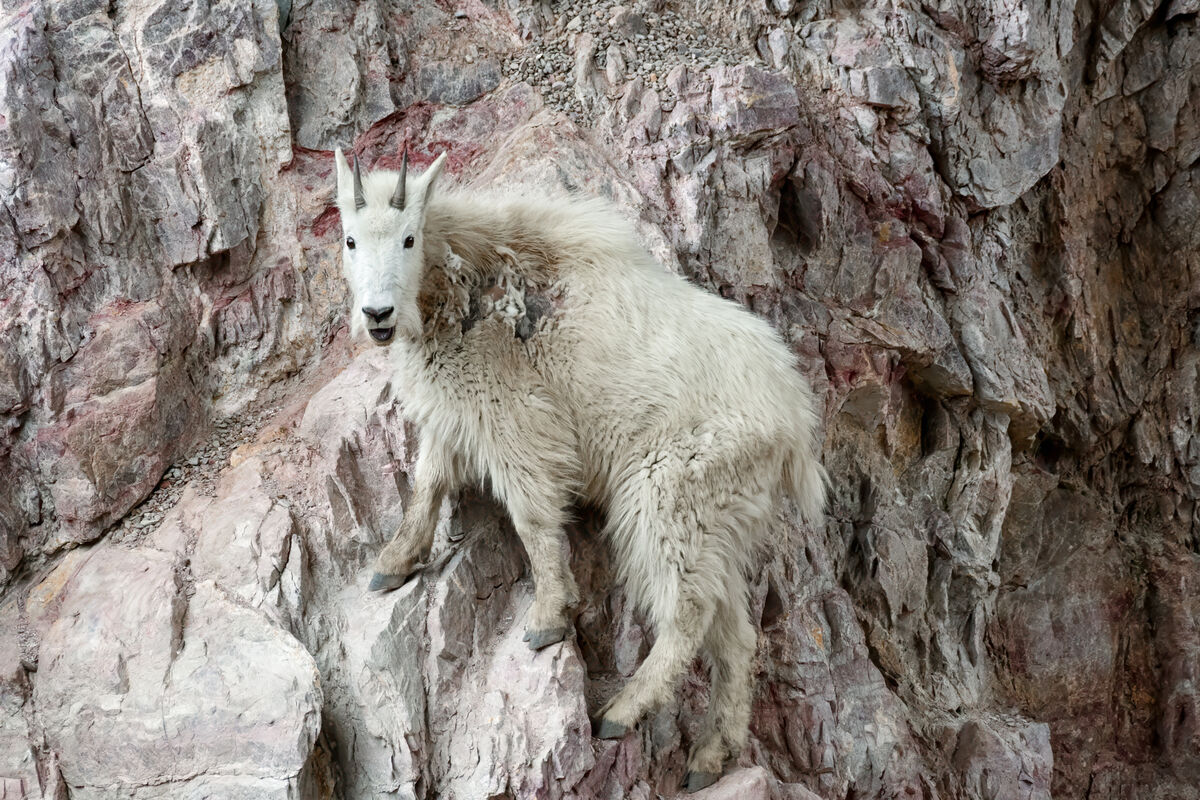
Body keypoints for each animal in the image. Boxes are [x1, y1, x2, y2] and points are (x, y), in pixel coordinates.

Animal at [331, 148, 826, 791]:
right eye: (349, 239)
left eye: (409, 237)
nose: (377, 315)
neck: (459, 284)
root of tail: (795, 421)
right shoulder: (455, 414)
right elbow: (427, 483)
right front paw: (393, 564)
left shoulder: (515, 421)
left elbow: (533, 519)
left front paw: (549, 618)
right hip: (719, 518)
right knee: (735, 634)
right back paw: (710, 756)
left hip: (670, 493)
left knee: (686, 613)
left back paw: (621, 712)